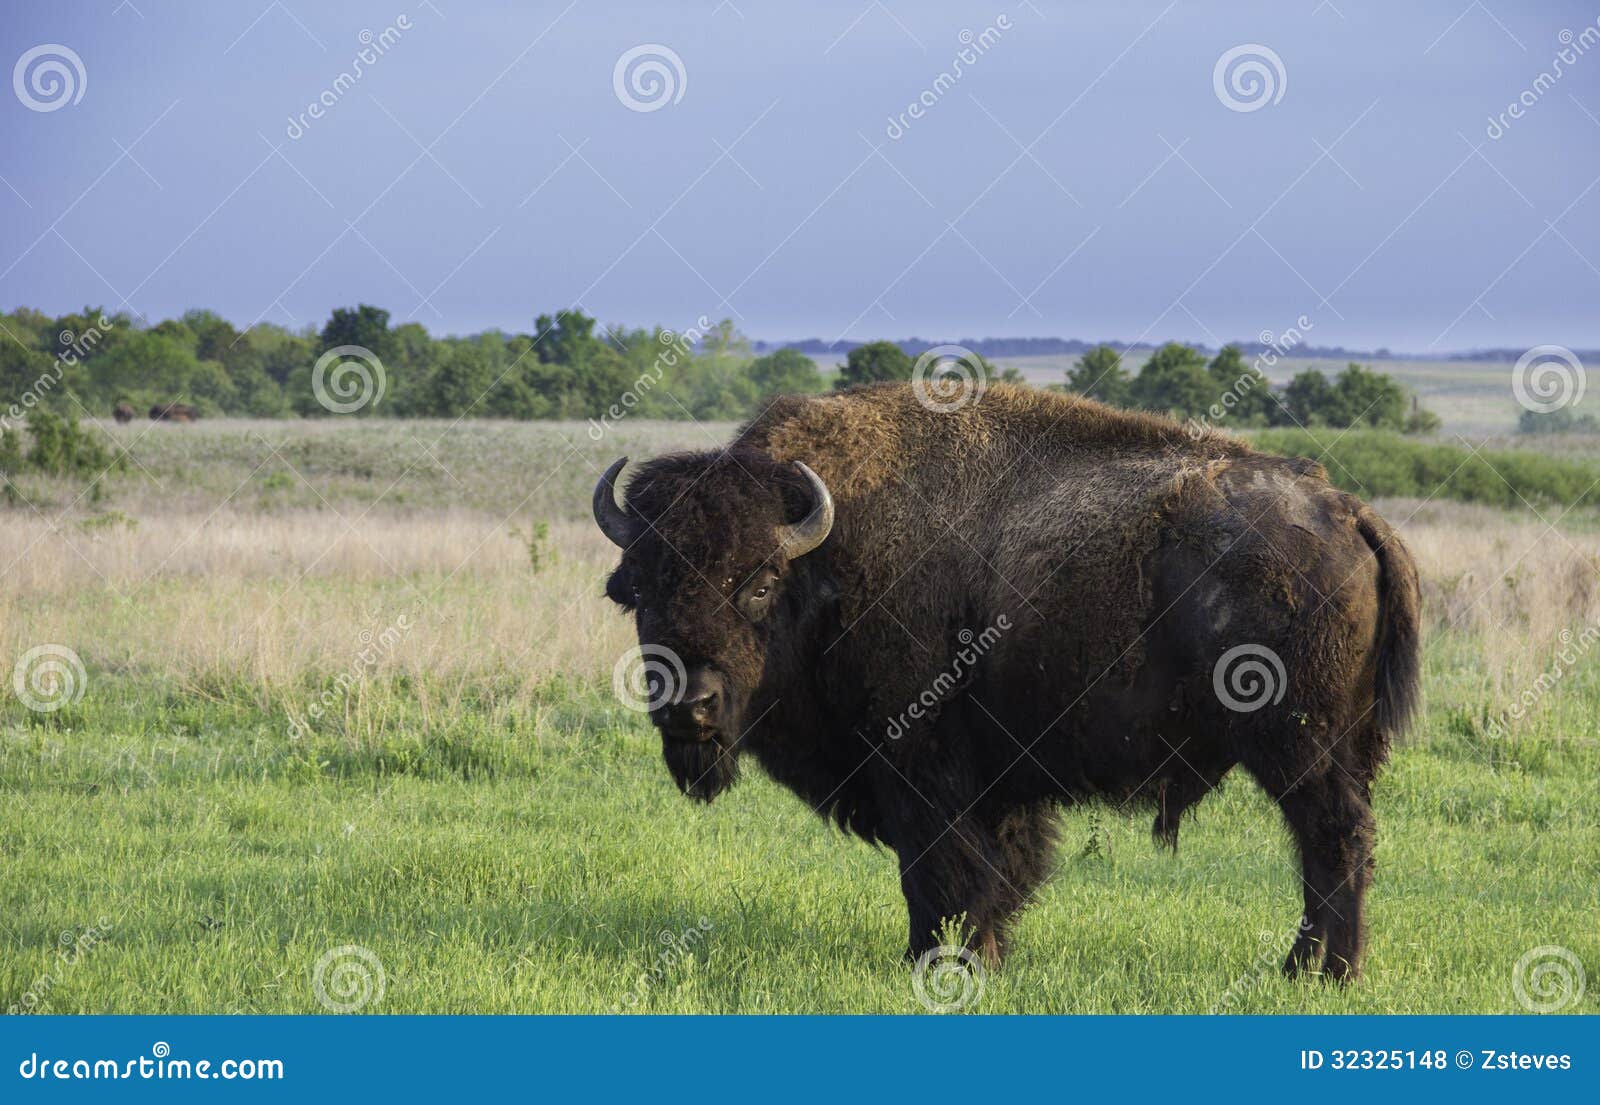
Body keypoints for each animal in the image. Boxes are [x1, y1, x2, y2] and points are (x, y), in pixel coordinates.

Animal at [593, 382, 1420, 982]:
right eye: (637, 588)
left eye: (760, 583)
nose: (690, 704)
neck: (829, 559)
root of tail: (1349, 512)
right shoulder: (997, 781)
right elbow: (998, 868)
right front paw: (984, 956)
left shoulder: (919, 765)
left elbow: (939, 869)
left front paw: (935, 962)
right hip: (1342, 750)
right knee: (1330, 846)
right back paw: (1304, 968)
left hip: (1297, 747)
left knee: (1334, 839)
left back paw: (1328, 974)